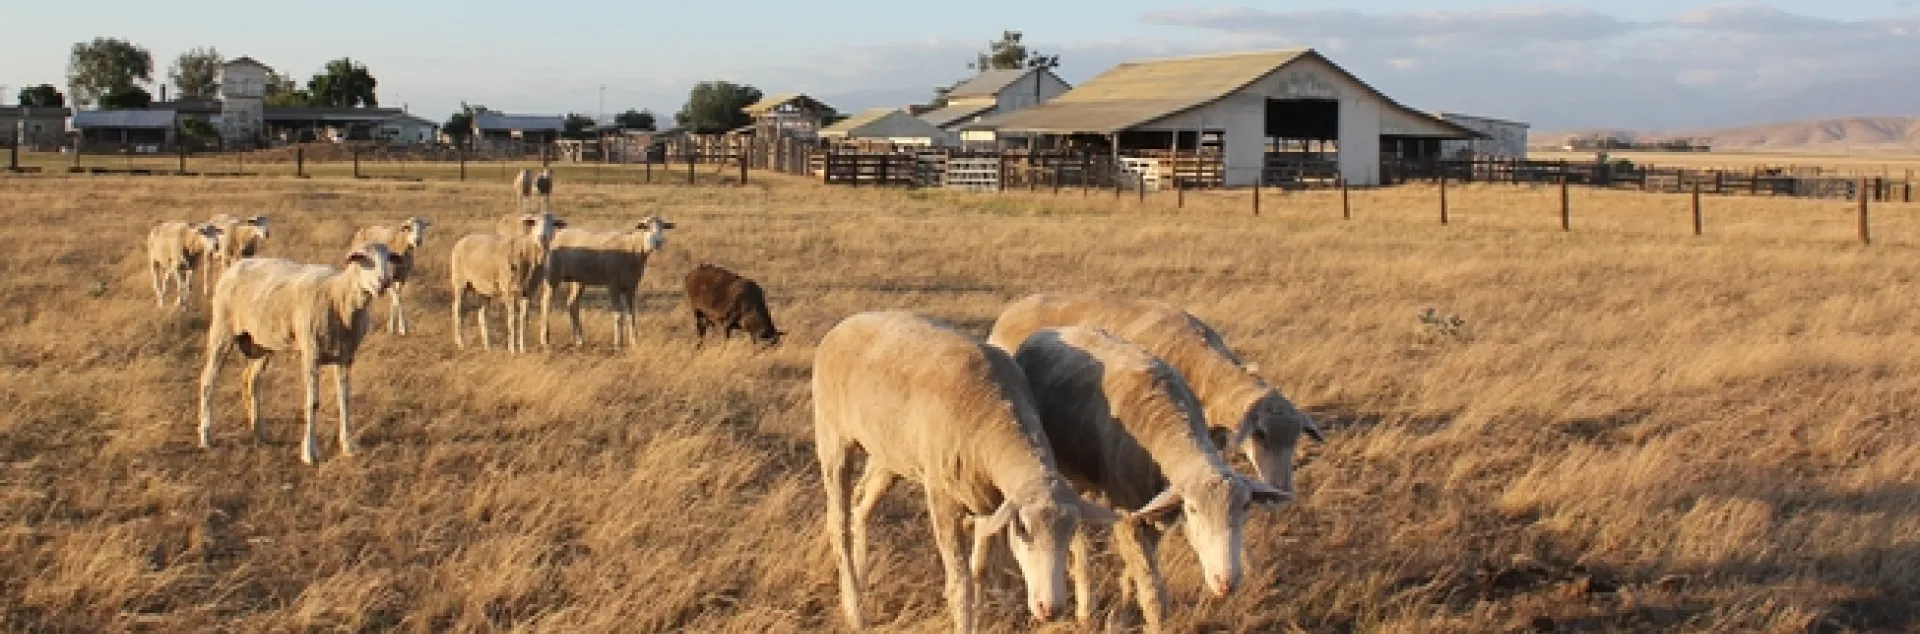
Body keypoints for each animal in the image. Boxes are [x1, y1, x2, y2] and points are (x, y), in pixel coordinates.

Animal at [195, 242, 398, 465]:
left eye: (389, 258)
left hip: (262, 341)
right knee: (208, 380)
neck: (338, 296)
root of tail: (235, 266)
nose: (384, 282)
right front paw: (309, 451)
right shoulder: (310, 353)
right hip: (222, 330)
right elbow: (312, 402)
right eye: (361, 258)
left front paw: (349, 446)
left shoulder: (345, 357)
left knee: (250, 379)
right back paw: (206, 435)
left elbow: (344, 401)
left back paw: (259, 431)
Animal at [450, 211, 565, 353]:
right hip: (460, 281)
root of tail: (464, 239)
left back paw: (488, 346)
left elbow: (524, 318)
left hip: (484, 288)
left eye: (552, 224)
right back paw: (460, 344)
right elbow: (512, 319)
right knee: (457, 309)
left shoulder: (528, 291)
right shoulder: (508, 289)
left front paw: (523, 349)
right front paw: (512, 350)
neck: (525, 251)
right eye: (534, 222)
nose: (542, 237)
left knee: (482, 314)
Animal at [538, 215, 674, 348]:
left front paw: (635, 342)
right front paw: (618, 344)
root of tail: (557, 234)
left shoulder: (631, 287)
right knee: (545, 302)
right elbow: (618, 314)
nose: (658, 242)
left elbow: (632, 315)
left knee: (572, 304)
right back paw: (545, 340)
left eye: (662, 227)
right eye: (646, 227)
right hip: (553, 274)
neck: (633, 248)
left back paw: (580, 340)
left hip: (579, 280)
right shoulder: (613, 284)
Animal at [812, 311, 1120, 634]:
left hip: (890, 453)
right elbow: (960, 584)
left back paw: (862, 576)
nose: (1050, 610)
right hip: (833, 438)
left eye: (1072, 530)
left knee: (861, 505)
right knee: (839, 523)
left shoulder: (987, 500)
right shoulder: (942, 498)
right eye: (1023, 529)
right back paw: (855, 611)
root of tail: (847, 322)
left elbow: (979, 569)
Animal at [1010, 326, 1288, 631]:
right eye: (1193, 509)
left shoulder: (1153, 513)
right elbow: (1154, 593)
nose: (1226, 583)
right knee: (1077, 534)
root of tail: (1049, 330)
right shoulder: (1128, 513)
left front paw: (1125, 595)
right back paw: (1085, 606)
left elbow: (1141, 568)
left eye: (1246, 507)